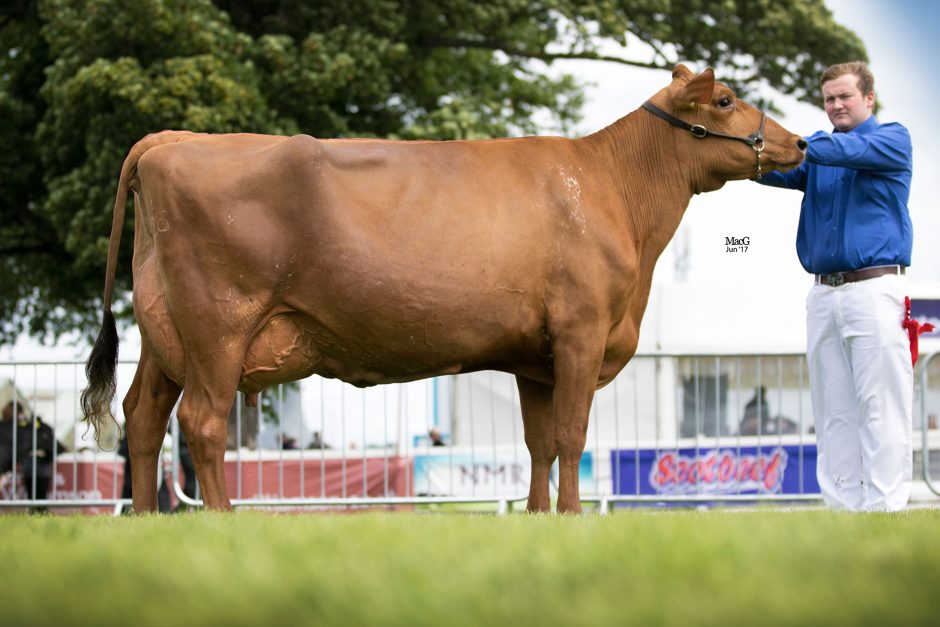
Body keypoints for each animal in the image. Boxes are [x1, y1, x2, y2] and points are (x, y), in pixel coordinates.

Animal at [81, 64, 806, 513]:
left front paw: (541, 519)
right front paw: (574, 516)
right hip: (218, 325)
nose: (799, 143)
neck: (612, 189)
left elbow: (539, 441)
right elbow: (572, 434)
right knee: (201, 423)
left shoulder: (536, 356)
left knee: (143, 417)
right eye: (724, 100)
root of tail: (174, 139)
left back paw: (144, 521)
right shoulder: (582, 329)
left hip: (165, 332)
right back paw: (224, 518)